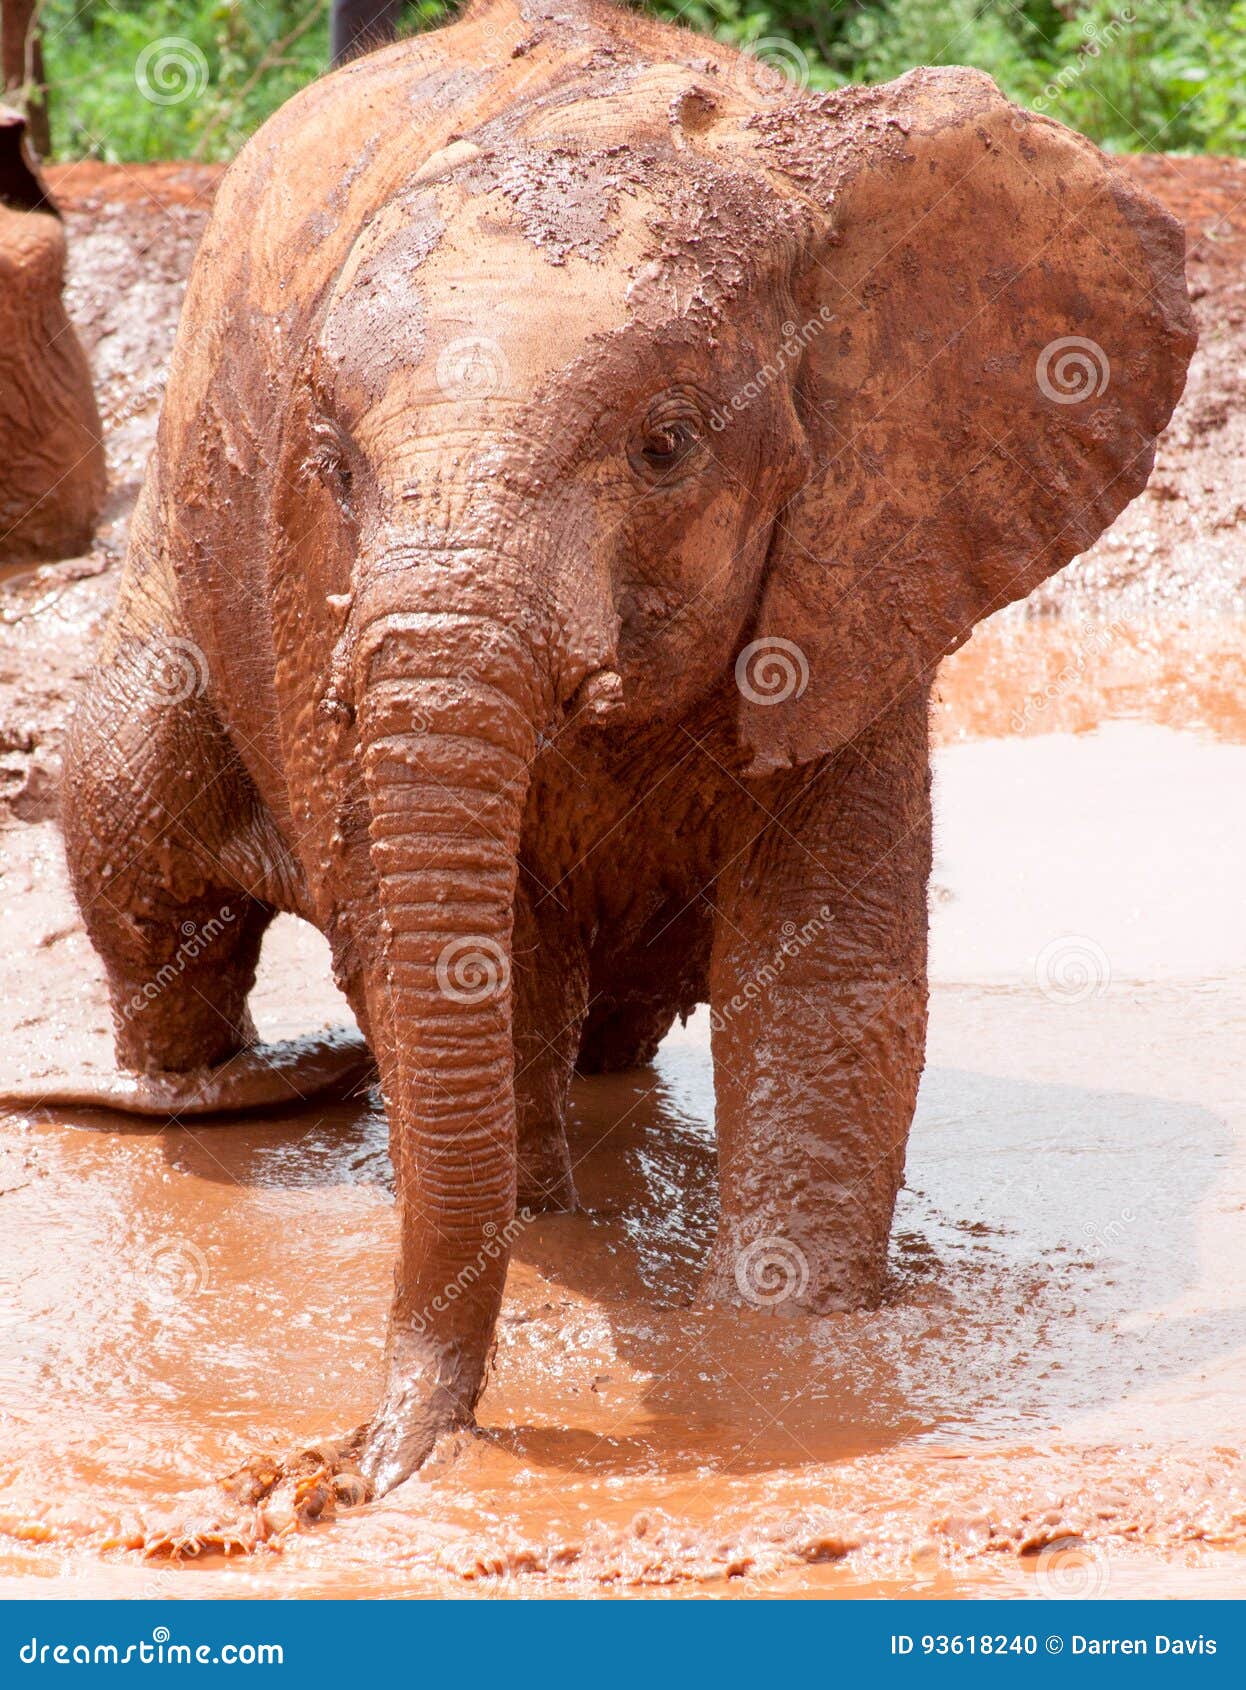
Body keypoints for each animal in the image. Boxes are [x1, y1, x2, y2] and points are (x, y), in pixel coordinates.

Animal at [4, 0, 1192, 1504]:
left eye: (667, 446)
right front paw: (553, 1245)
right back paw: (215, 1093)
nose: (358, 1469)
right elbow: (457, 953)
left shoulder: (868, 545)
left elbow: (824, 980)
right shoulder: (304, 566)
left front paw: (783, 1346)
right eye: (333, 461)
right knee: (134, 818)